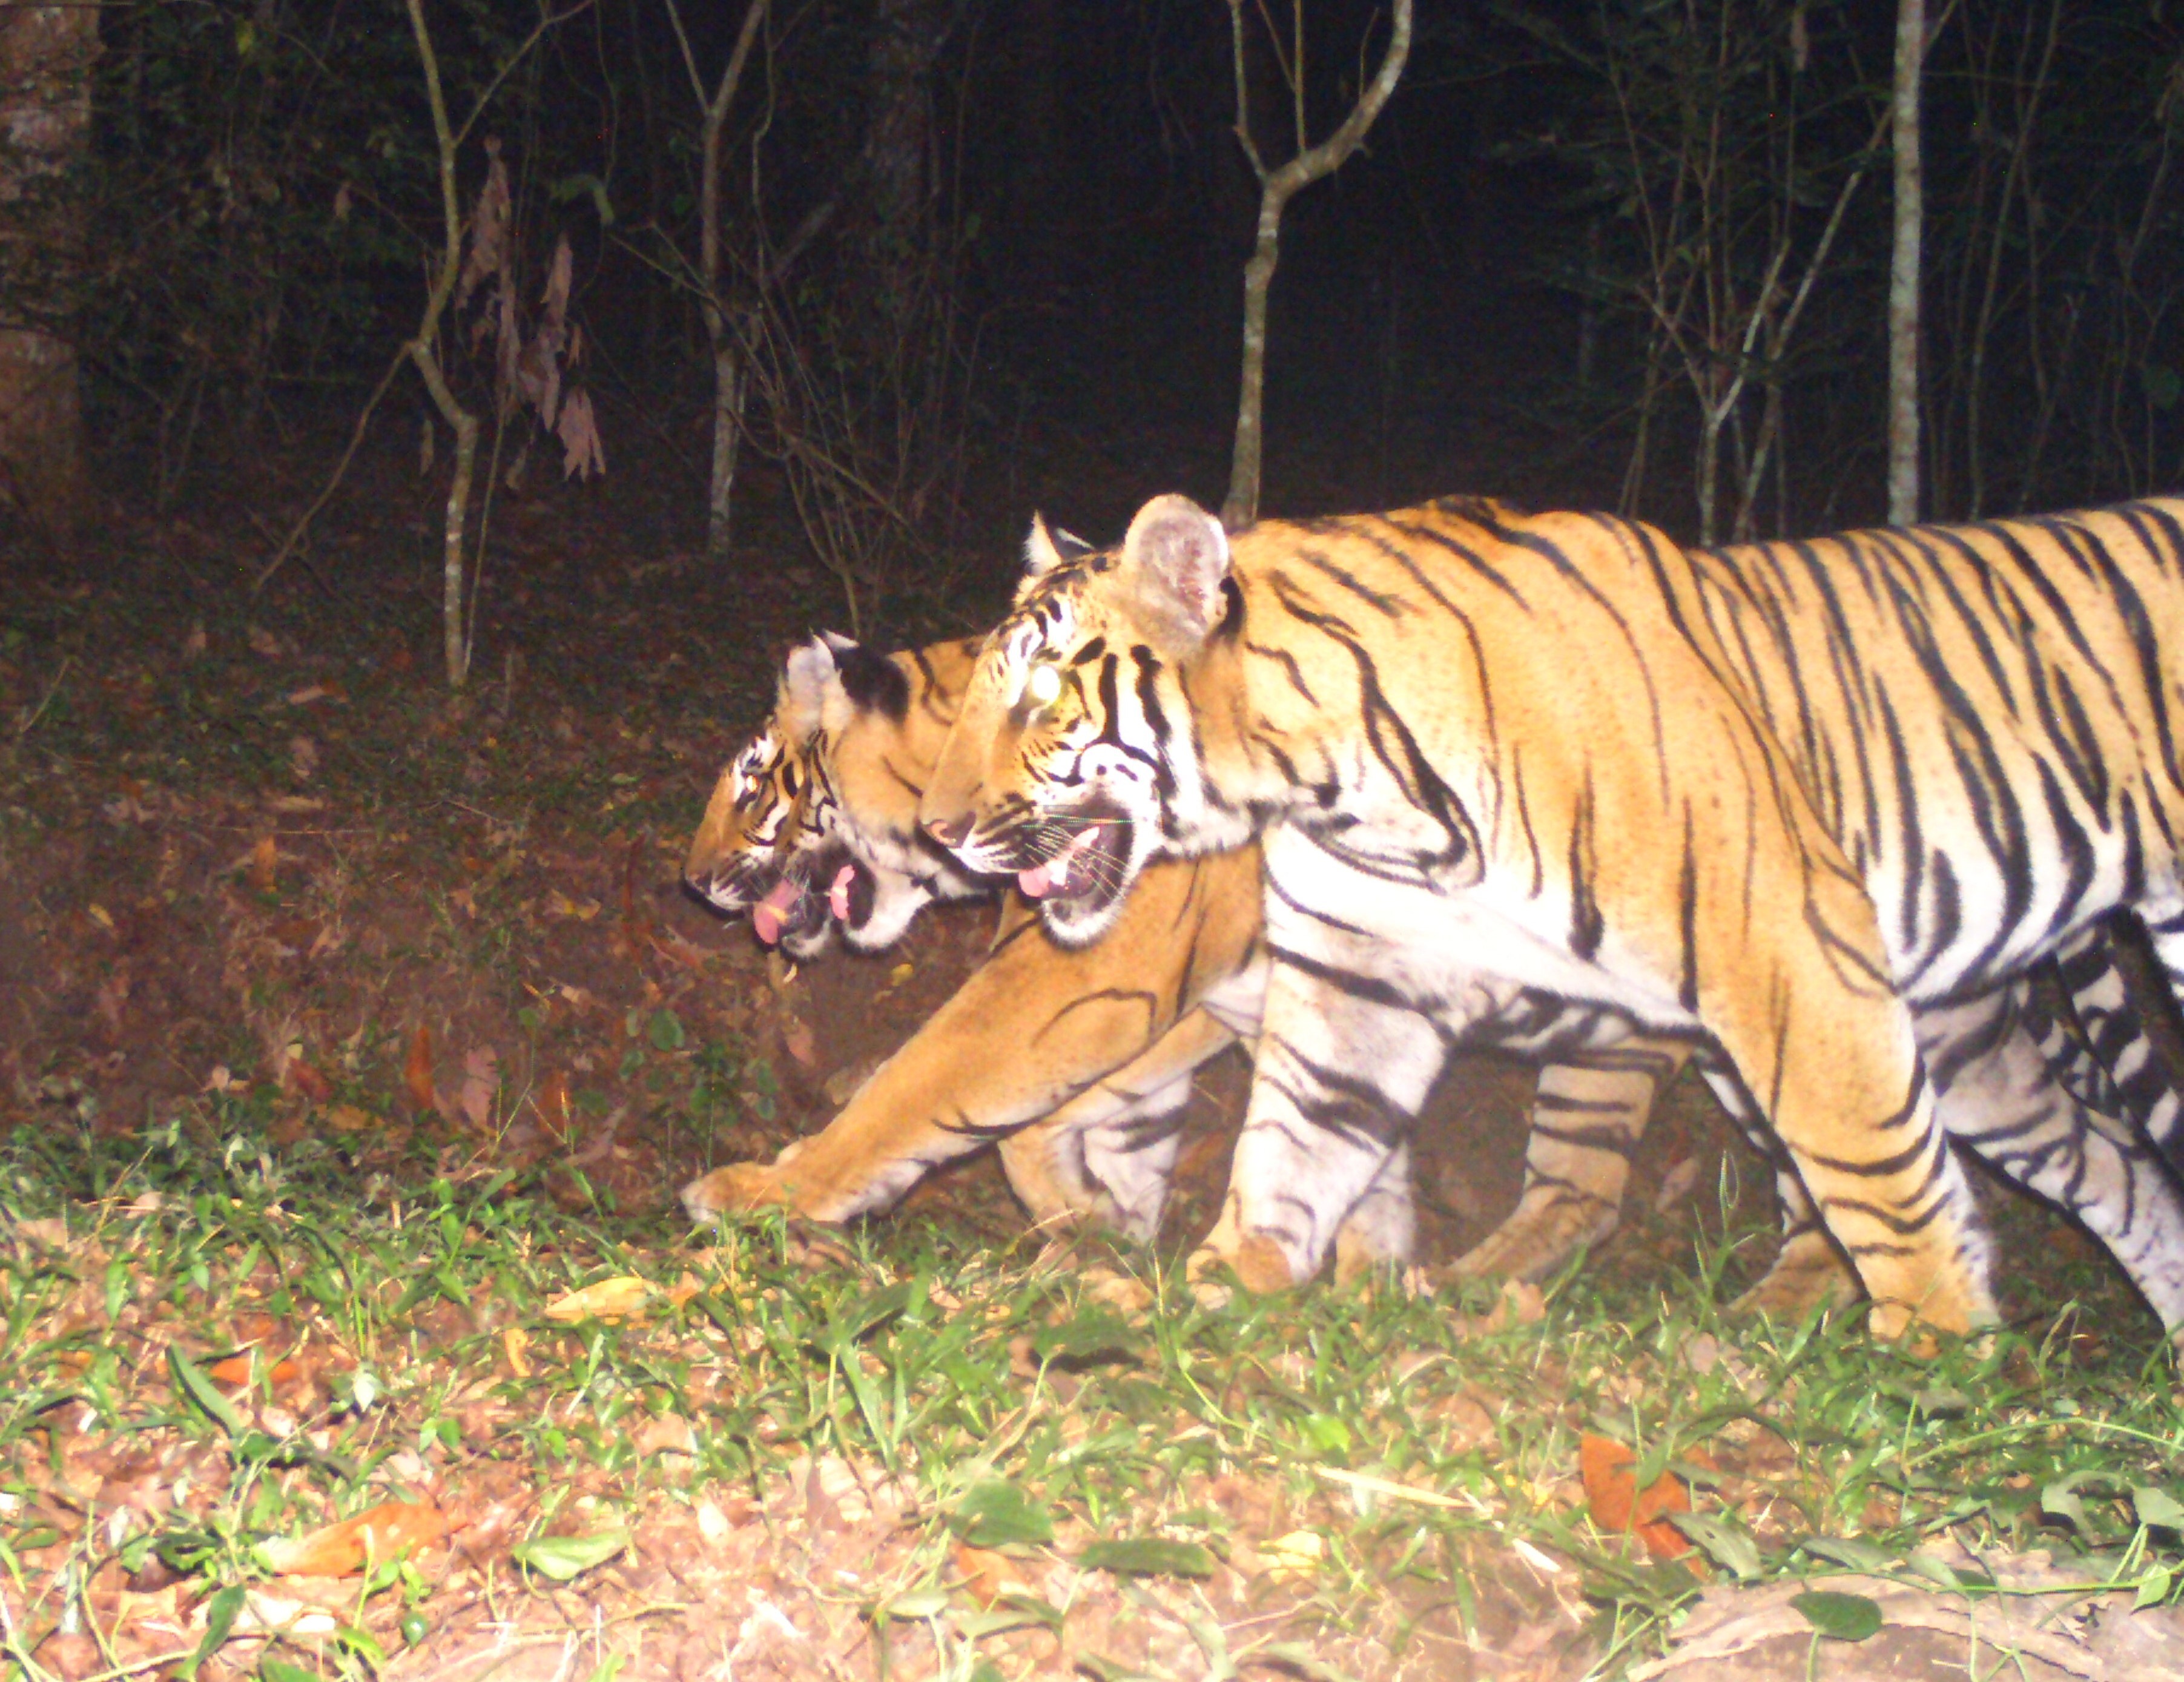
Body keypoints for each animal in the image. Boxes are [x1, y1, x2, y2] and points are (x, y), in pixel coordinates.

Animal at [917, 493, 2184, 1340]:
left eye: (1041, 695)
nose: (939, 827)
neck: (1338, 778)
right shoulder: (1359, 969)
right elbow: (1296, 1136)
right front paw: (1225, 1284)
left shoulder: (1788, 942)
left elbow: (1871, 1166)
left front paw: (1936, 1351)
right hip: (1971, 1046)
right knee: (2110, 1162)